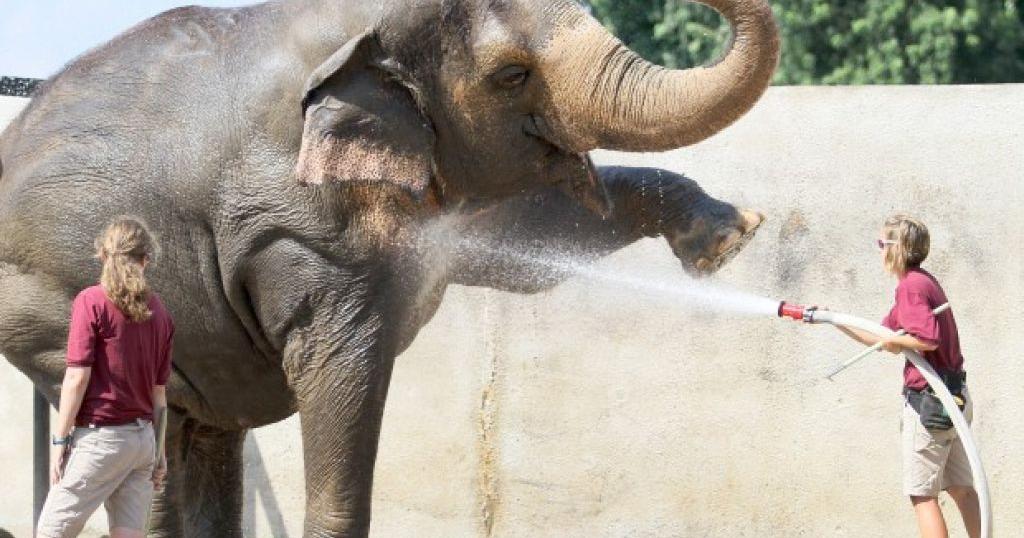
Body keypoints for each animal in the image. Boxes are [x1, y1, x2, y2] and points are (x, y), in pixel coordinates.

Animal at [0, 0, 779, 535]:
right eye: (511, 75)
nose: (736, 234)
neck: (355, 24)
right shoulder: (292, 226)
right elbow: (341, 367)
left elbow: (528, 245)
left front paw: (728, 239)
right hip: (46, 308)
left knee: (206, 433)